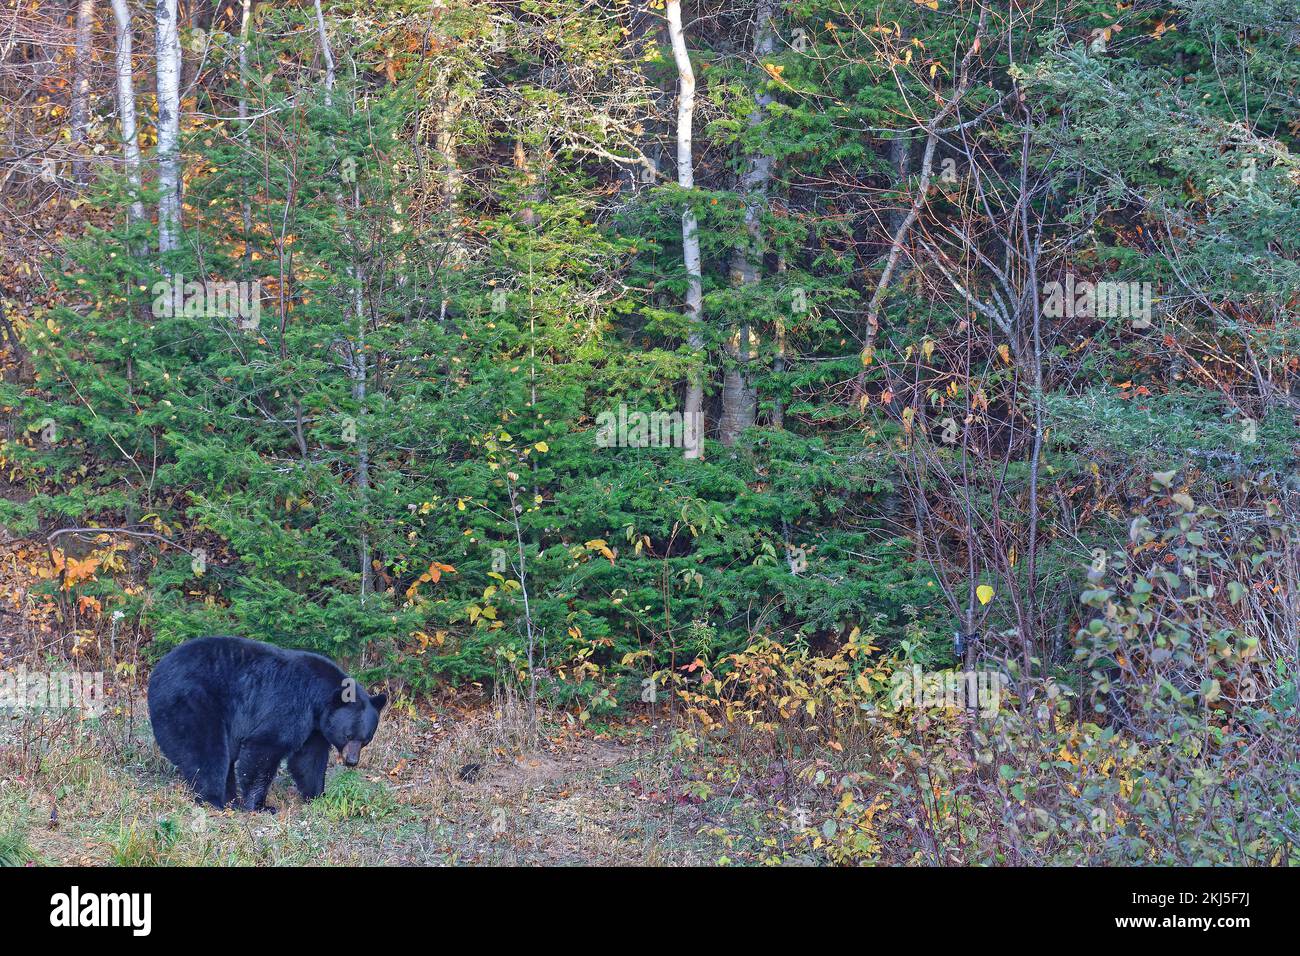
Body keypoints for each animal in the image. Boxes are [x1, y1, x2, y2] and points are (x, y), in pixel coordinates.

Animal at [147, 635, 387, 812]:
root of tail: (156, 673)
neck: (318, 699)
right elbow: (265, 748)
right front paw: (259, 805)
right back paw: (216, 800)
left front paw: (318, 795)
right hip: (193, 703)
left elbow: (308, 760)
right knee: (207, 752)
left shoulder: (315, 727)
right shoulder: (290, 707)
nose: (352, 761)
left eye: (366, 739)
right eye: (348, 735)